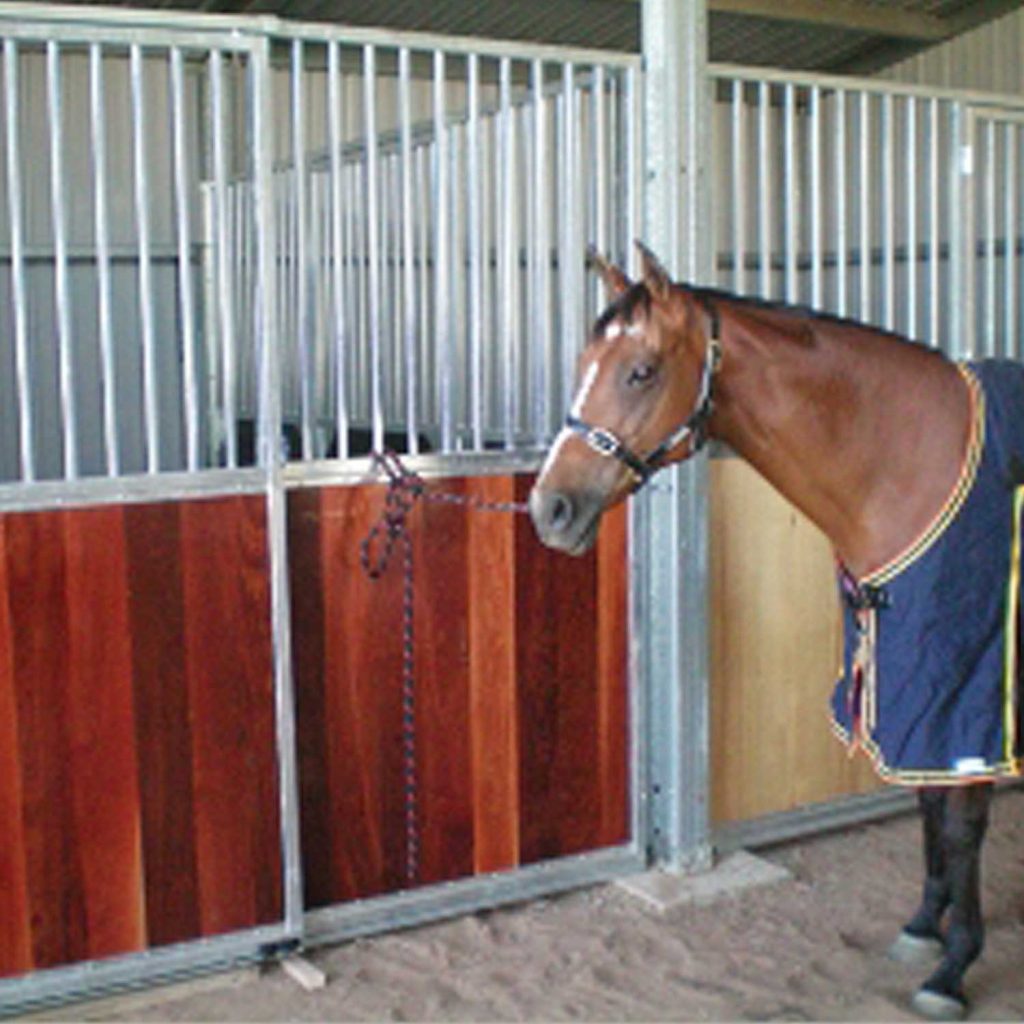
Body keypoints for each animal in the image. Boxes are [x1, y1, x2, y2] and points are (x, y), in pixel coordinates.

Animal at [528, 242, 1024, 1021]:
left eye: (641, 371)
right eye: (583, 363)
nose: (548, 508)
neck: (915, 460)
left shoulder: (967, 685)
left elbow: (961, 821)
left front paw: (954, 966)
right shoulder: (899, 679)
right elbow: (924, 800)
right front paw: (924, 925)